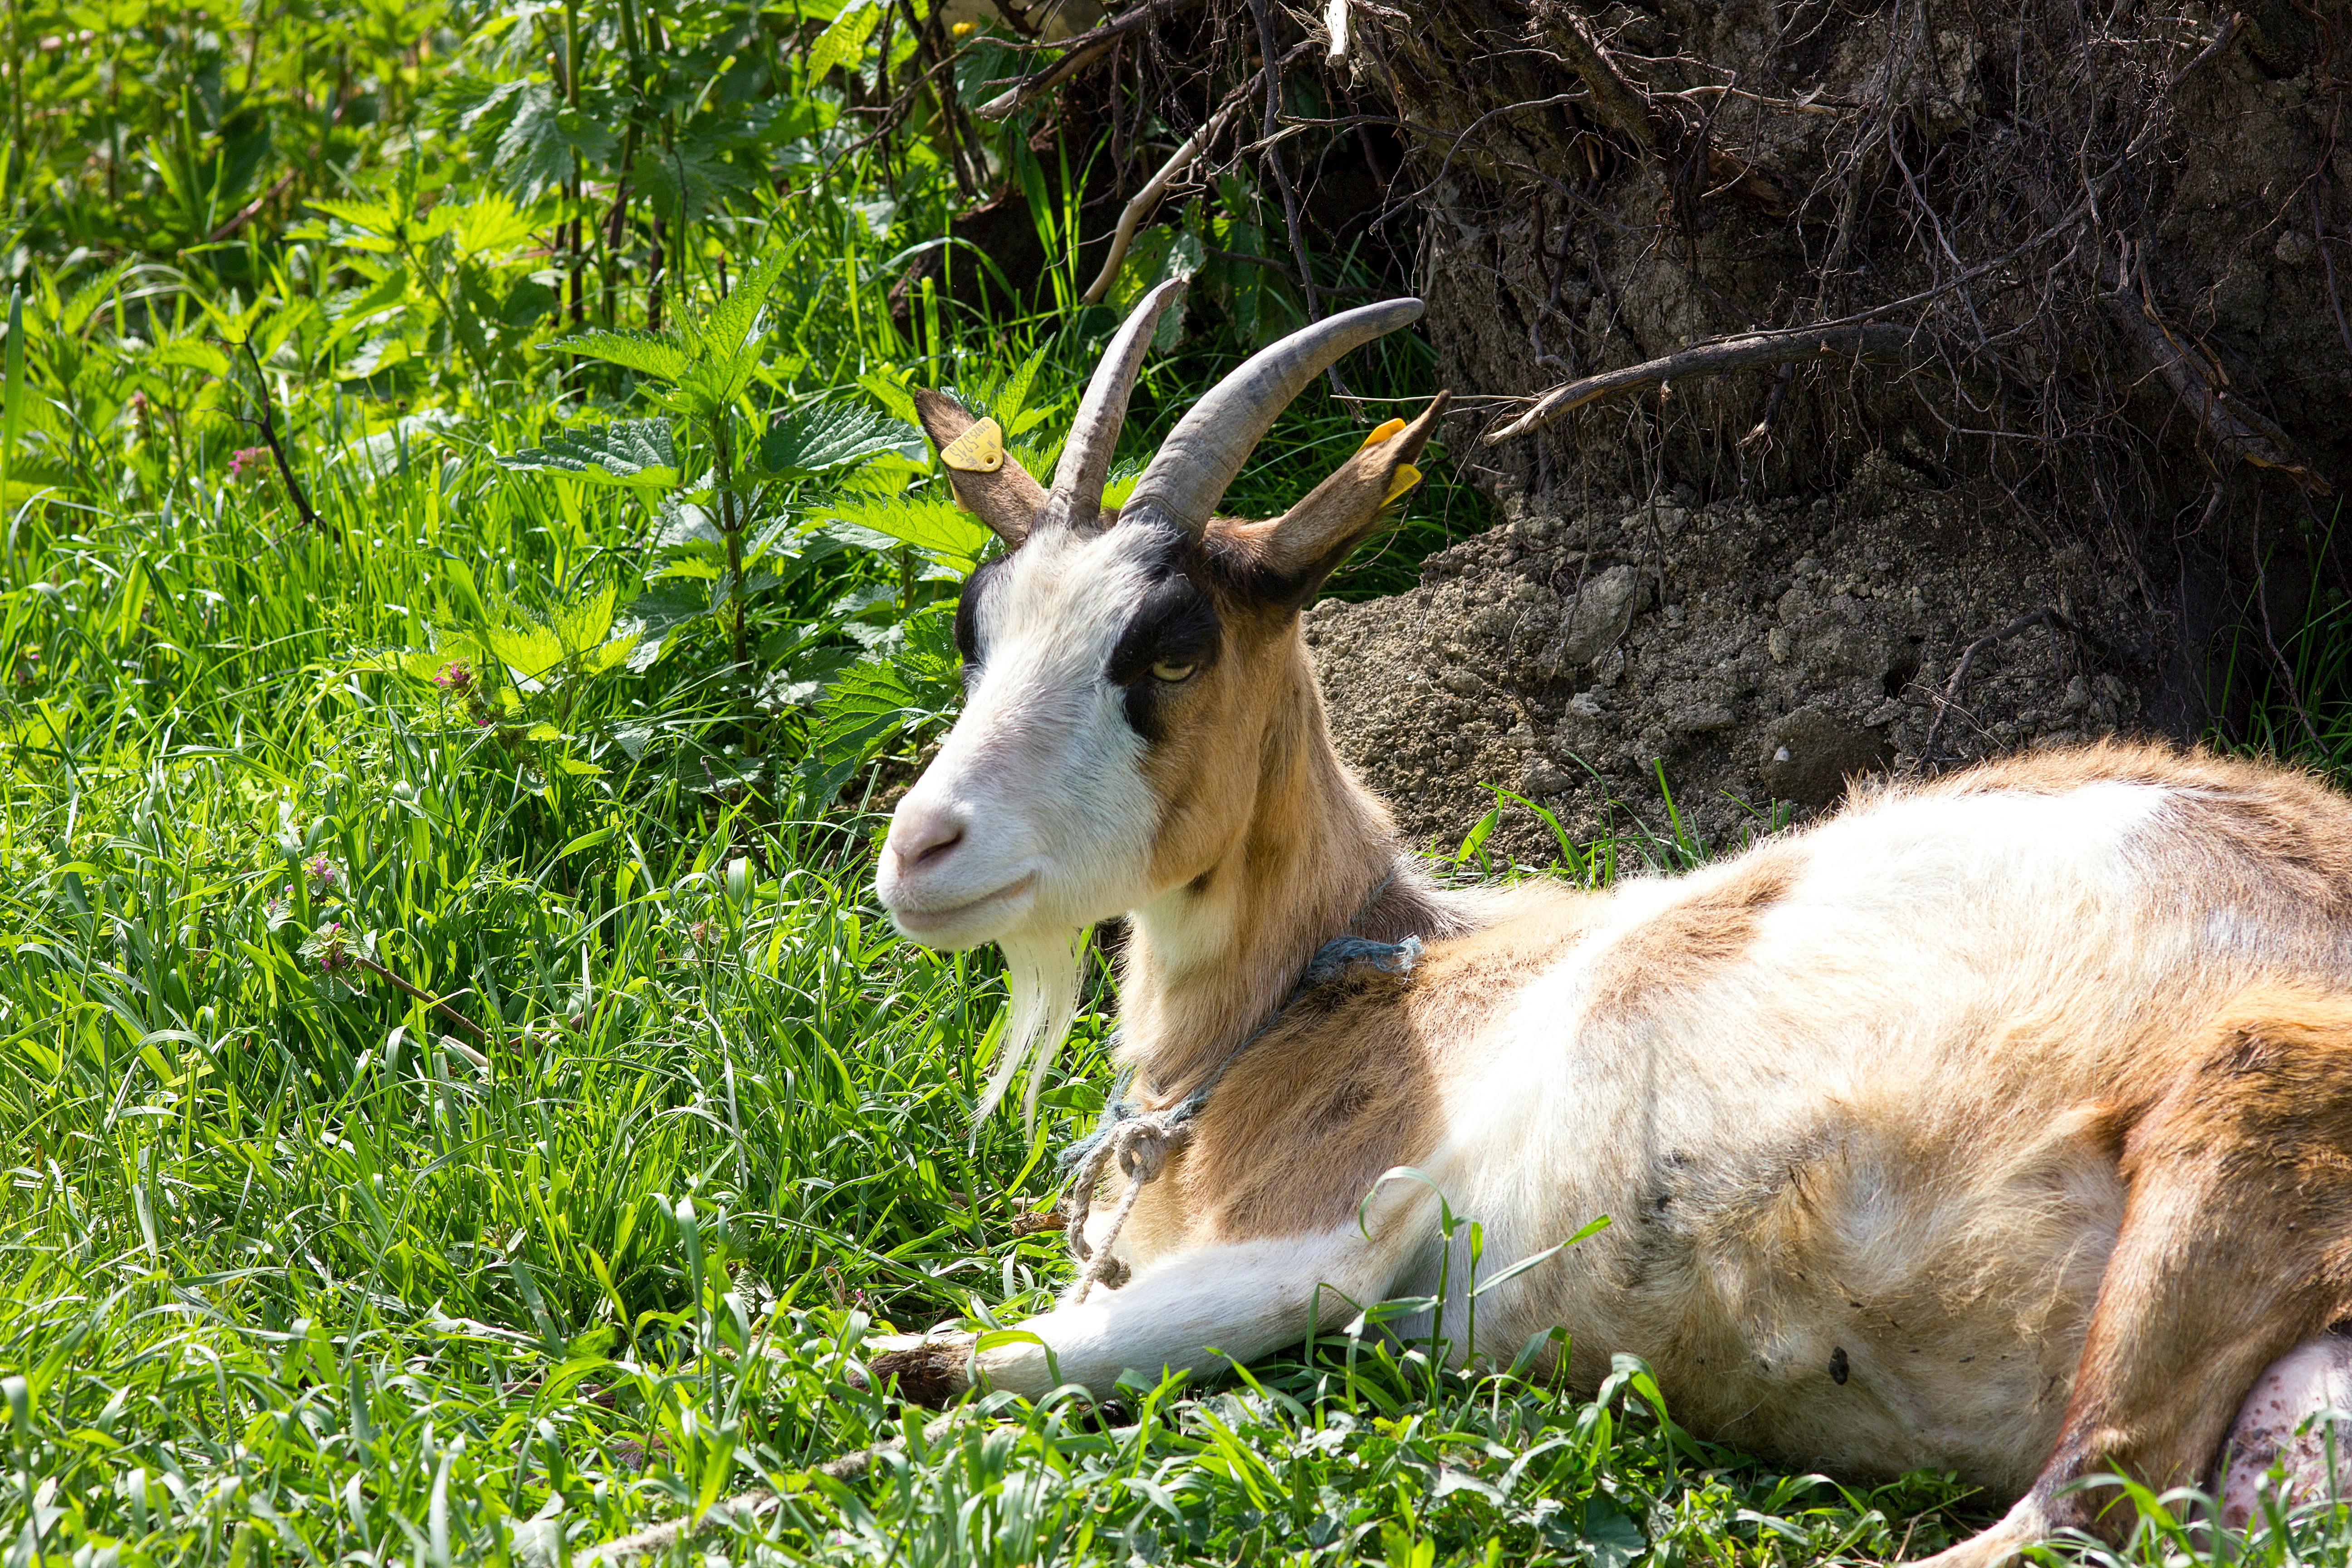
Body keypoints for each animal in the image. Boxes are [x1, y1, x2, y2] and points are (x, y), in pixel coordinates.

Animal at [866, 280, 2352, 1565]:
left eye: (1171, 646)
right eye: (974, 627)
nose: (921, 848)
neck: (1352, 979)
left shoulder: (1325, 1237)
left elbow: (949, 1363)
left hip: (2235, 1126)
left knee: (2076, 1506)